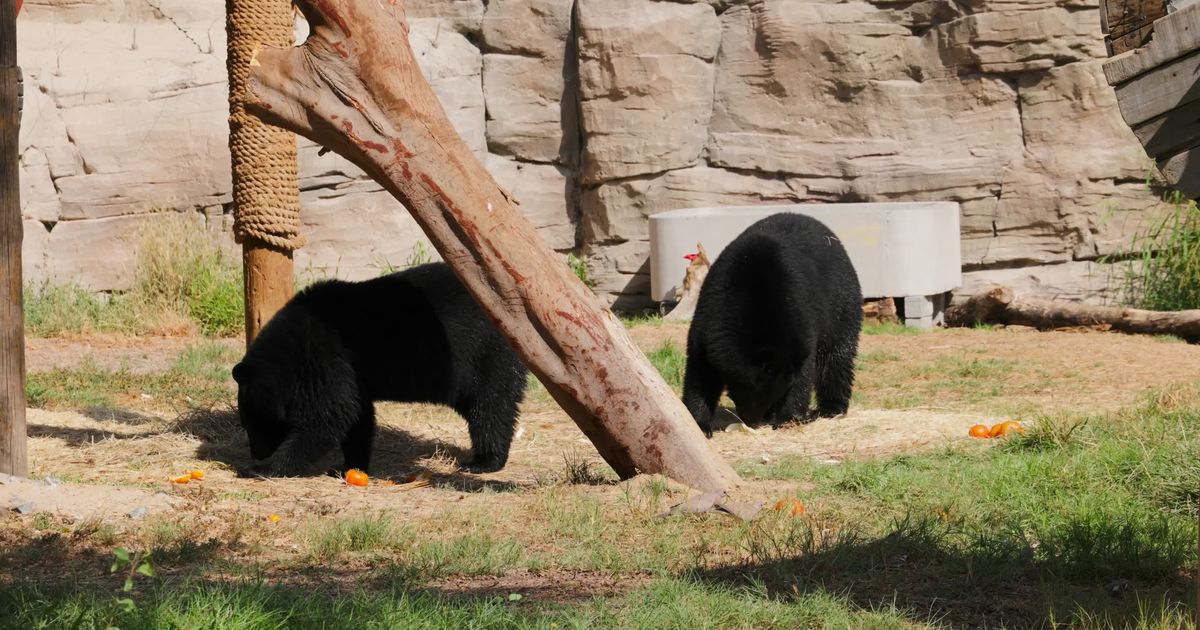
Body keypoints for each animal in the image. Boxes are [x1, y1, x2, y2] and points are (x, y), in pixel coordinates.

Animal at [232, 262, 528, 477]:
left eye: (254, 422)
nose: (257, 452)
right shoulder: (349, 374)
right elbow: (356, 415)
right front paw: (348, 466)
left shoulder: (326, 357)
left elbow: (327, 418)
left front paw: (261, 468)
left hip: (486, 352)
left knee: (491, 407)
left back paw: (483, 461)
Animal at [681, 212, 862, 436]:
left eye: (766, 397)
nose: (752, 421)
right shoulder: (709, 319)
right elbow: (700, 370)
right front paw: (700, 423)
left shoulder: (801, 324)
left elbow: (804, 372)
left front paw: (788, 419)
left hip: (842, 302)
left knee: (837, 356)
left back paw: (832, 409)